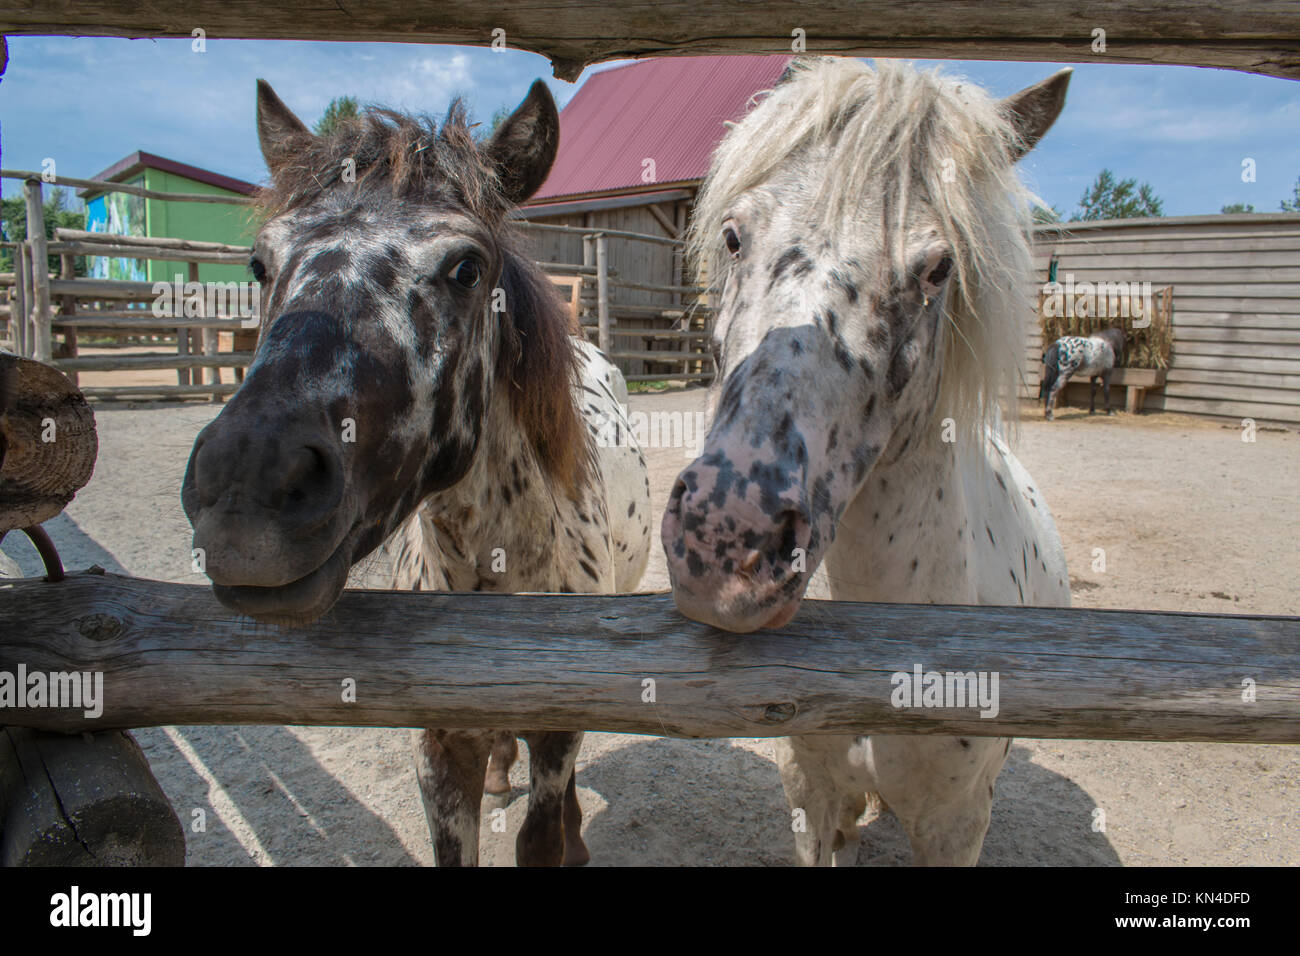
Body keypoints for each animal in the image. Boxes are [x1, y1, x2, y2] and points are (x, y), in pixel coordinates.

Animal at [182, 80, 652, 866]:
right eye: (259, 264)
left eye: (466, 268)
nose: (246, 489)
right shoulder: (434, 752)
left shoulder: (559, 732)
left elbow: (544, 831)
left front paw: (570, 836)